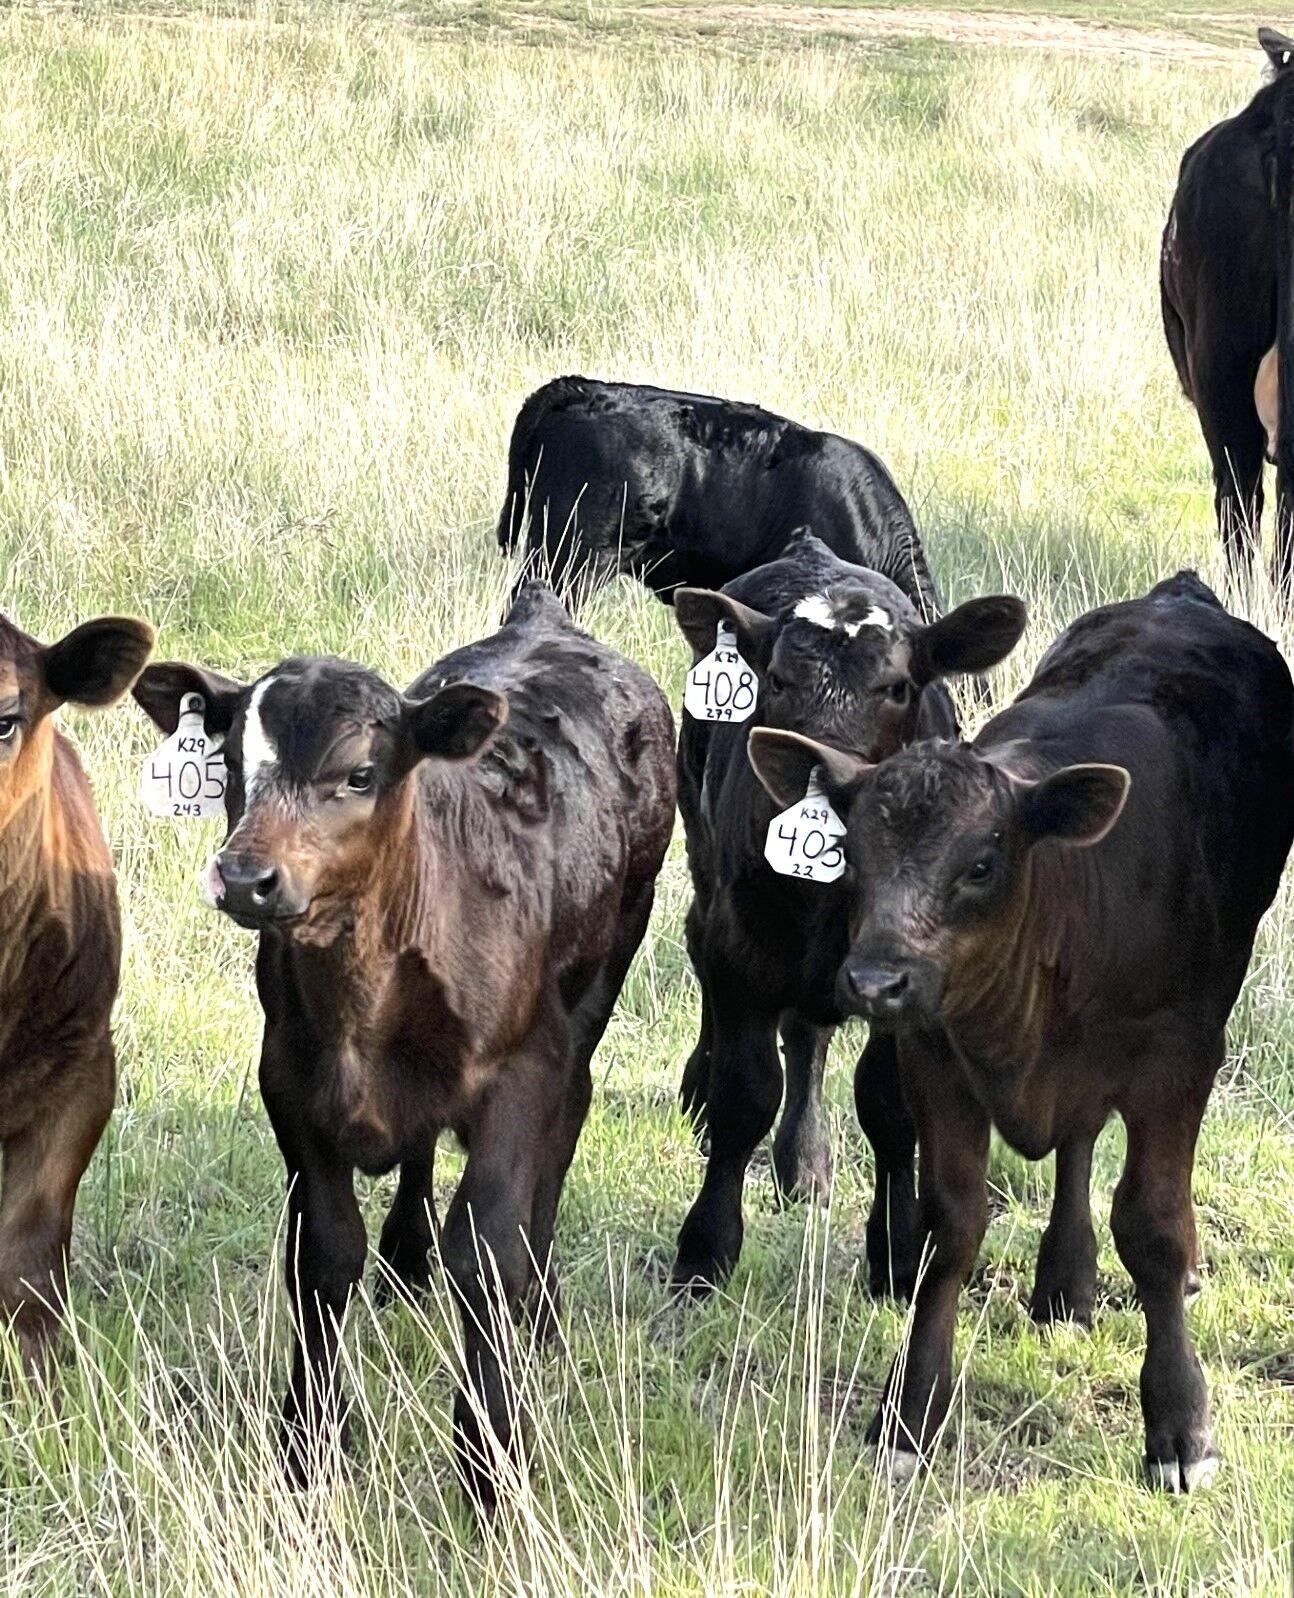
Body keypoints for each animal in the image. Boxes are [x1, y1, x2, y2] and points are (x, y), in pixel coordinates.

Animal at [132, 583, 675, 1510]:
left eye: (359, 774)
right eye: (231, 769)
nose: (244, 878)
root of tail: (547, 623)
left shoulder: (522, 1072)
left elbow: (486, 1251)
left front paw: (489, 1463)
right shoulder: (290, 1085)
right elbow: (324, 1252)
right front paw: (307, 1442)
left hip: (604, 972)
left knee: (569, 1122)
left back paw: (540, 1307)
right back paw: (406, 1256)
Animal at [669, 531, 1026, 1298]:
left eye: (896, 688)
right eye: (774, 681)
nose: (817, 771)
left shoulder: (913, 977)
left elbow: (889, 1106)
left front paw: (895, 1251)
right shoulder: (741, 947)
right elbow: (745, 1092)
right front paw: (706, 1247)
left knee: (809, 1037)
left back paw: (804, 1162)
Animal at [748, 572, 1294, 1491]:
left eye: (982, 863)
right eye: (849, 854)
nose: (874, 981)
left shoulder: (1175, 1062)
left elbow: (1154, 1227)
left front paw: (1180, 1425)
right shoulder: (936, 1060)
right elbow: (951, 1224)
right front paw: (911, 1408)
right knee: (1075, 1144)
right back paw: (1066, 1279)